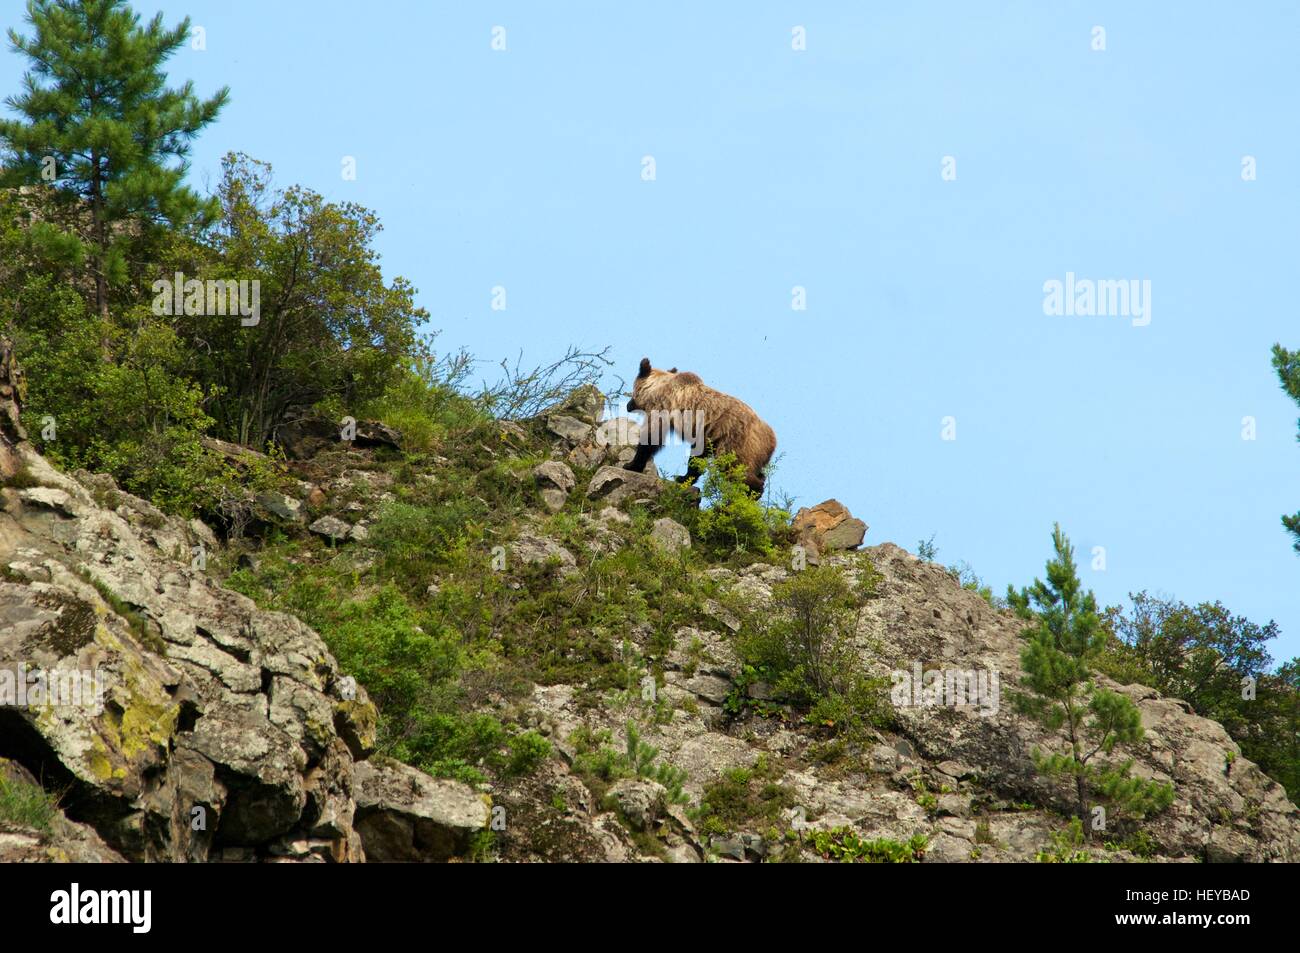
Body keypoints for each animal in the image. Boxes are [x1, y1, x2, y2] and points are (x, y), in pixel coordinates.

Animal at [623, 357, 777, 496]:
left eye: (632, 390)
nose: (628, 405)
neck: (656, 389)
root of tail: (772, 441)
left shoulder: (662, 407)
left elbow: (651, 437)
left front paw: (631, 465)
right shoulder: (707, 435)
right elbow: (697, 457)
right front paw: (683, 477)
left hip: (737, 440)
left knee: (735, 467)